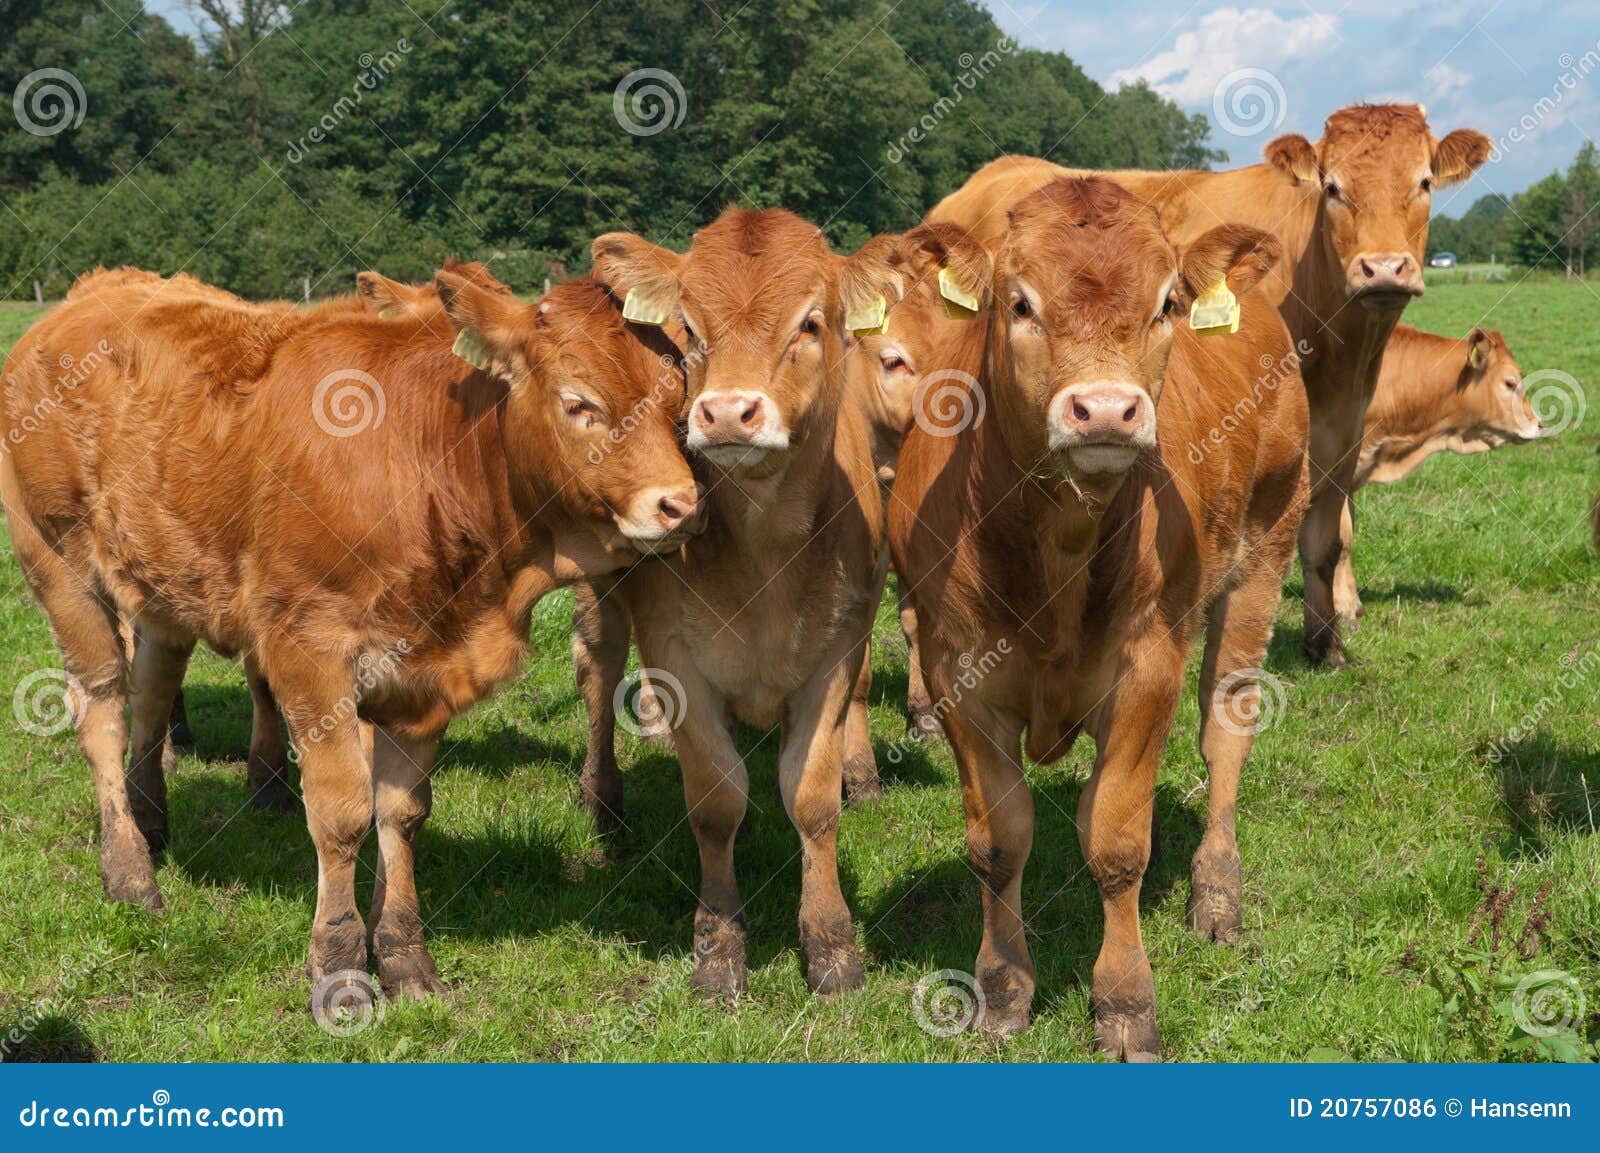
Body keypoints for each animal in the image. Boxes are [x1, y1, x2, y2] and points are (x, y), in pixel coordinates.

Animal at [1, 264, 701, 1006]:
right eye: (580, 403)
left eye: (676, 401)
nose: (681, 505)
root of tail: (91, 294)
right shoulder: (310, 651)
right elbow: (340, 814)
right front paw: (338, 962)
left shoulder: (424, 672)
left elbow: (401, 812)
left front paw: (404, 956)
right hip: (57, 564)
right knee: (101, 707)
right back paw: (129, 869)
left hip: (162, 585)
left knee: (154, 689)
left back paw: (150, 816)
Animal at [579, 206, 906, 996]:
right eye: (690, 330)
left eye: (811, 323)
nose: (727, 412)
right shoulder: (674, 654)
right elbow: (715, 799)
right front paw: (719, 945)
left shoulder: (835, 651)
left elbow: (811, 798)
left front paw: (831, 944)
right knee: (599, 671)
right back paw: (603, 806)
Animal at [889, 178, 1308, 1058]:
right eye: (1018, 302)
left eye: (1166, 302)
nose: (1108, 410)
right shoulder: (954, 669)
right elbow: (999, 838)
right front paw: (1002, 988)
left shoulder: (1149, 664)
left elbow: (1116, 841)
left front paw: (1124, 1003)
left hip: (1266, 548)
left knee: (1227, 730)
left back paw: (1217, 892)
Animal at [926, 104, 1491, 668]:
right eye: (1332, 187)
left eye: (1424, 182)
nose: (1384, 268)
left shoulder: (1342, 431)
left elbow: (1329, 541)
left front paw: (1327, 642)